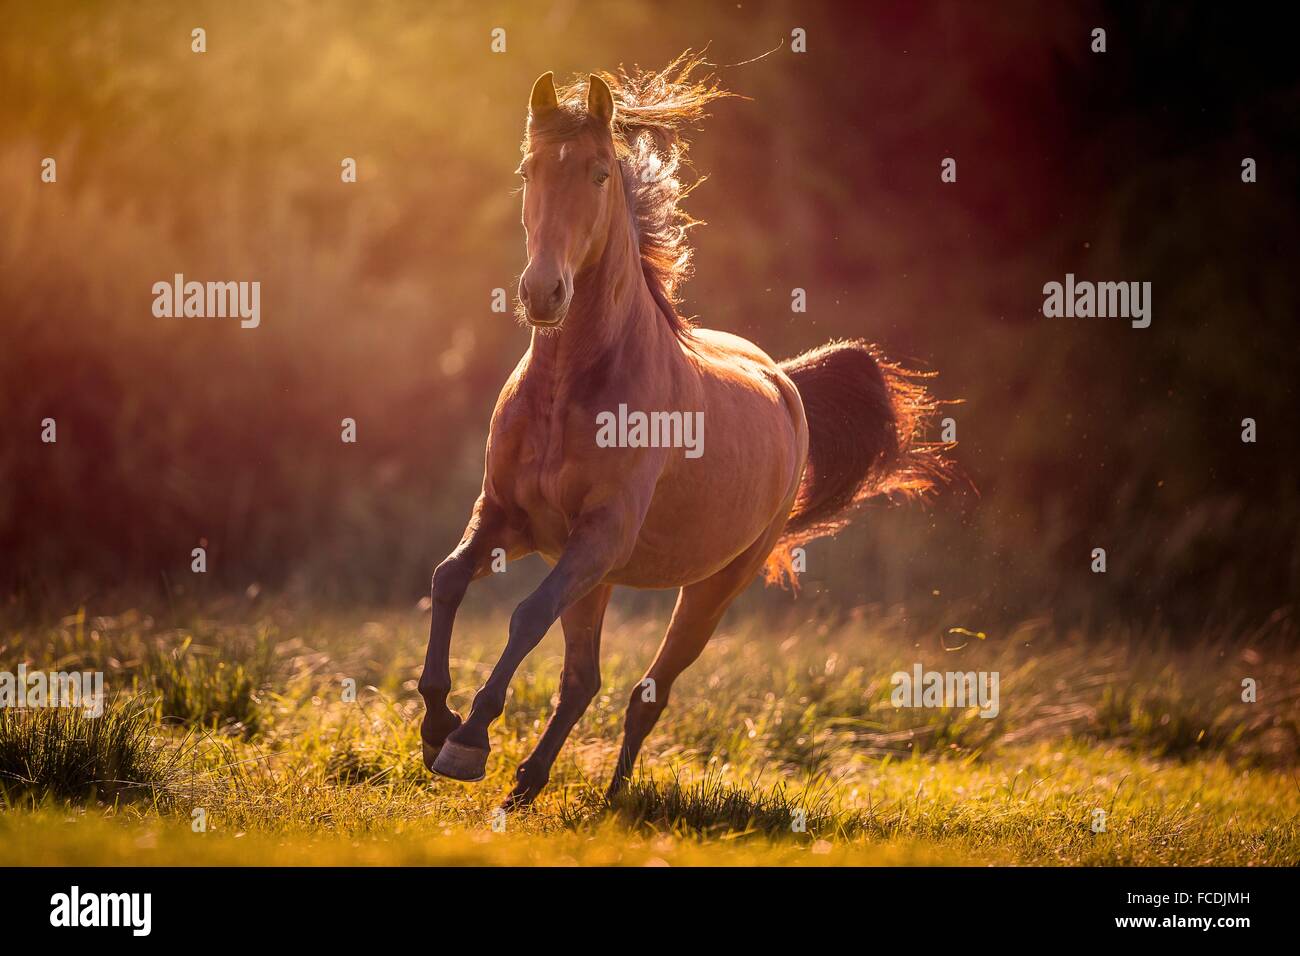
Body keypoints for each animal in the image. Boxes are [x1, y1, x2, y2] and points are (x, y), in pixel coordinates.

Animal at [419, 53, 943, 809]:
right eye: (527, 170)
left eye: (599, 173)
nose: (542, 293)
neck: (569, 389)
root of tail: (784, 380)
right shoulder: (510, 519)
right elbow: (449, 578)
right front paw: (437, 724)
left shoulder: (598, 536)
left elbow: (524, 616)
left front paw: (467, 741)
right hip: (597, 576)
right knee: (583, 682)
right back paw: (526, 787)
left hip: (710, 587)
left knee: (647, 693)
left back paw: (611, 798)